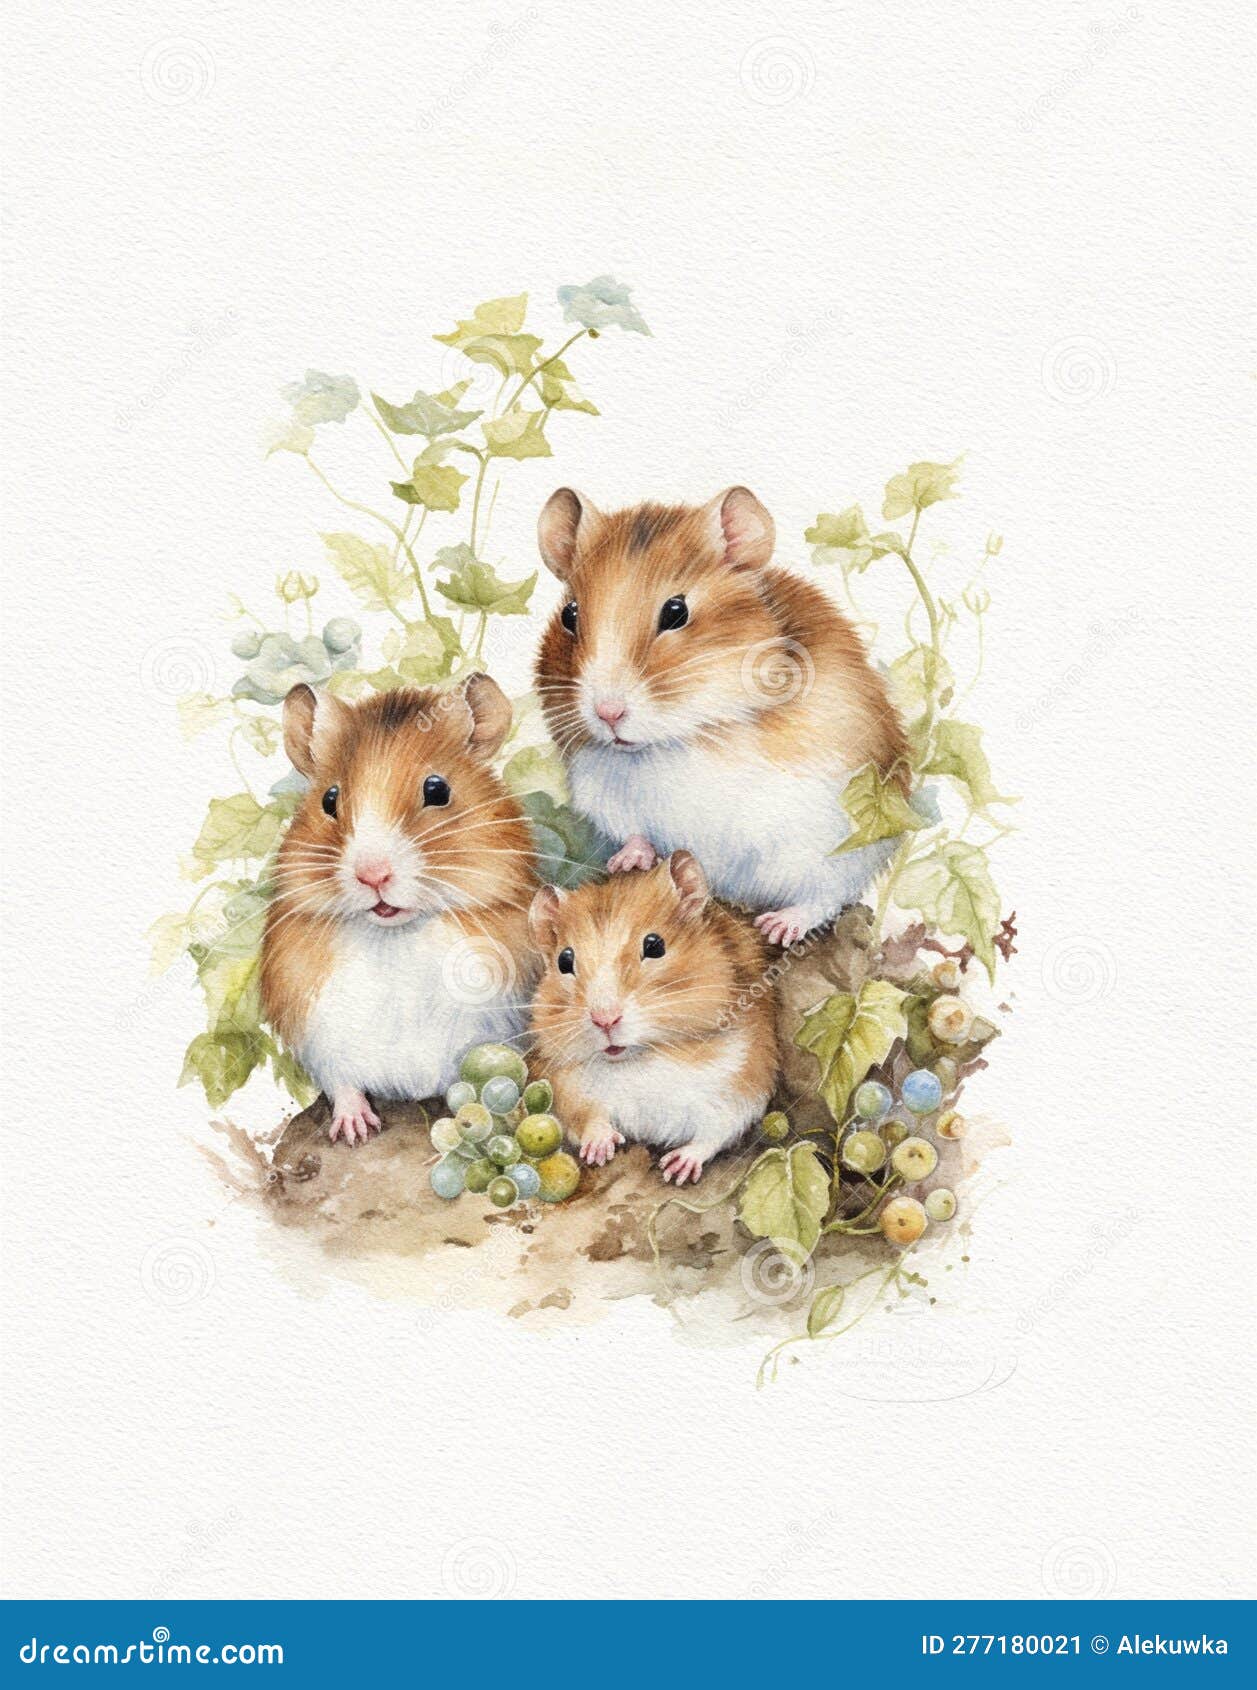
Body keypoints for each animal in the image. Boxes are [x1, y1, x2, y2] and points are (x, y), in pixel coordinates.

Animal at [261, 674, 537, 1146]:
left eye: (437, 790)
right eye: (329, 799)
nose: (373, 875)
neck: (396, 936)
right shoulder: (315, 1029)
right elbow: (342, 1083)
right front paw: (354, 1130)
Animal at [528, 850, 777, 1185]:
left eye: (655, 945)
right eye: (564, 961)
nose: (604, 1020)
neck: (642, 1057)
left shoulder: (745, 1074)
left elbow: (717, 1130)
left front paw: (676, 1169)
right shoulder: (566, 1083)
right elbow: (587, 1117)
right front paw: (599, 1150)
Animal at [534, 486, 910, 947]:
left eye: (675, 612)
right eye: (570, 614)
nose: (608, 713)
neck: (683, 735)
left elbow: (823, 895)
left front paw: (779, 927)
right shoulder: (604, 791)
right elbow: (637, 833)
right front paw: (626, 862)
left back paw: (778, 925)